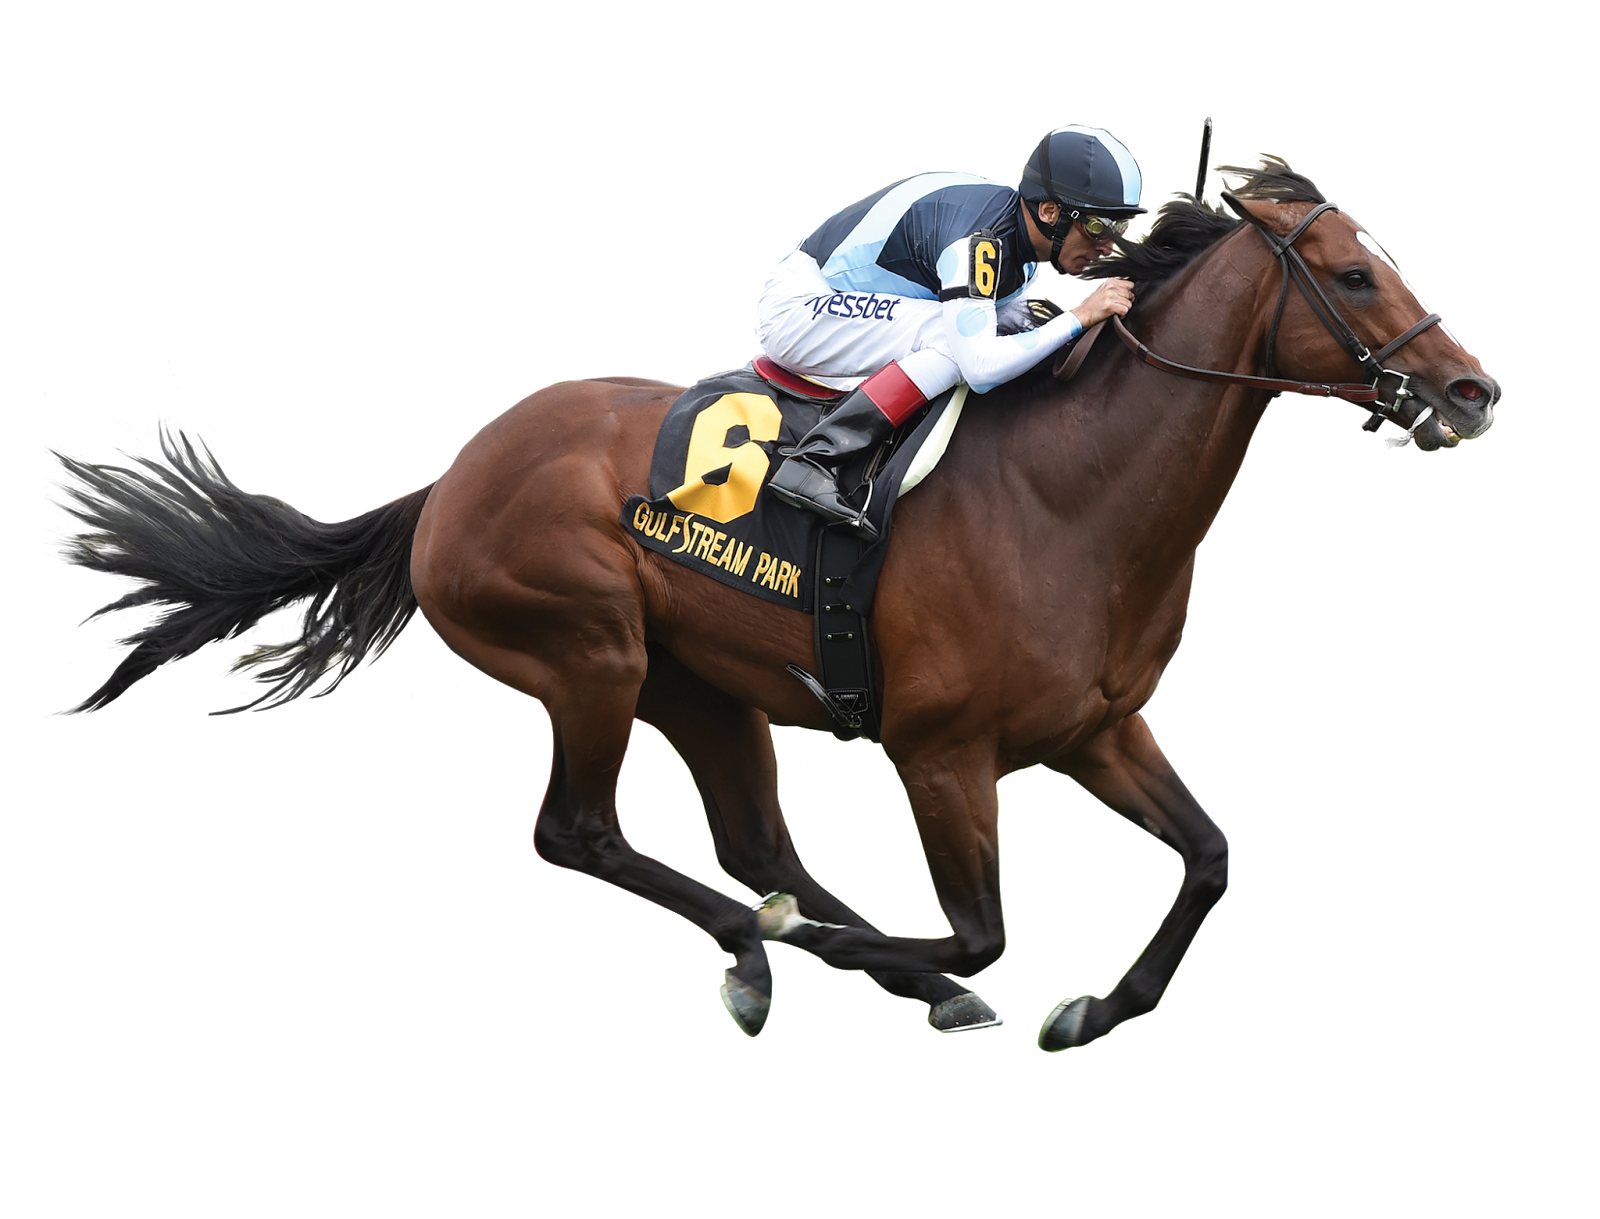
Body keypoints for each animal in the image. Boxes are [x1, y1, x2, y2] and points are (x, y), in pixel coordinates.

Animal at [44, 157, 1500, 1051]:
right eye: (1355, 275)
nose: (1473, 390)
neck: (1071, 498)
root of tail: (452, 476)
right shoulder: (943, 754)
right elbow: (984, 926)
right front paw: (896, 963)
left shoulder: (1098, 727)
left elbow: (1206, 855)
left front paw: (1090, 1006)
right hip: (590, 650)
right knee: (586, 833)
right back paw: (764, 954)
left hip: (701, 684)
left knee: (759, 844)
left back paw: (823, 947)